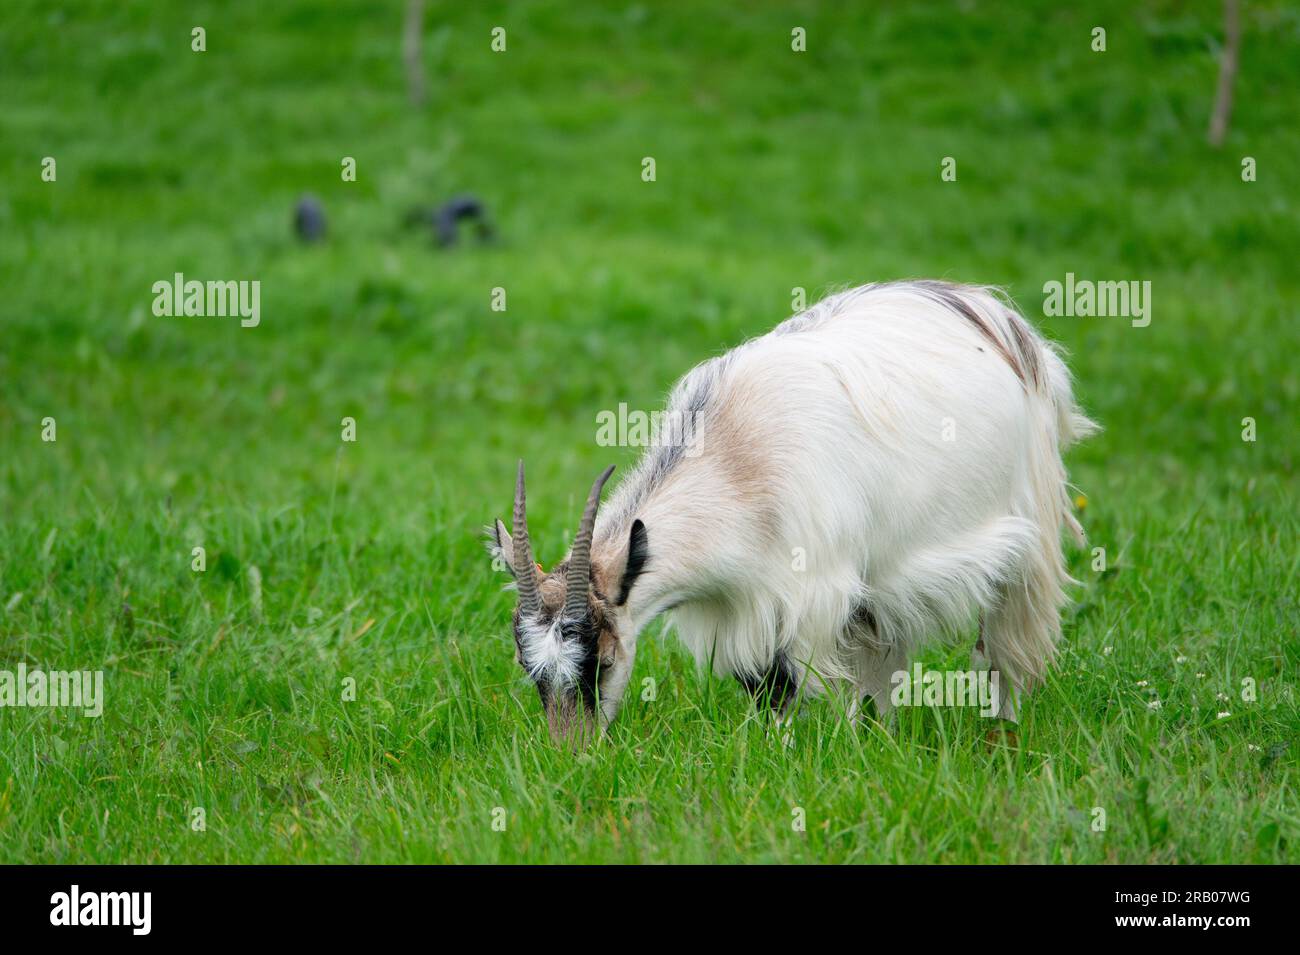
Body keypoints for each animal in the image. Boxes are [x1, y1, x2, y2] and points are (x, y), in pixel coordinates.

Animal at [488, 280, 1097, 743]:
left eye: (600, 660)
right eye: (531, 670)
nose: (573, 755)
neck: (741, 464)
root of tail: (999, 319)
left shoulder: (816, 592)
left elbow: (800, 682)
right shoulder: (744, 604)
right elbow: (765, 687)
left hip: (1029, 532)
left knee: (1005, 644)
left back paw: (1003, 735)